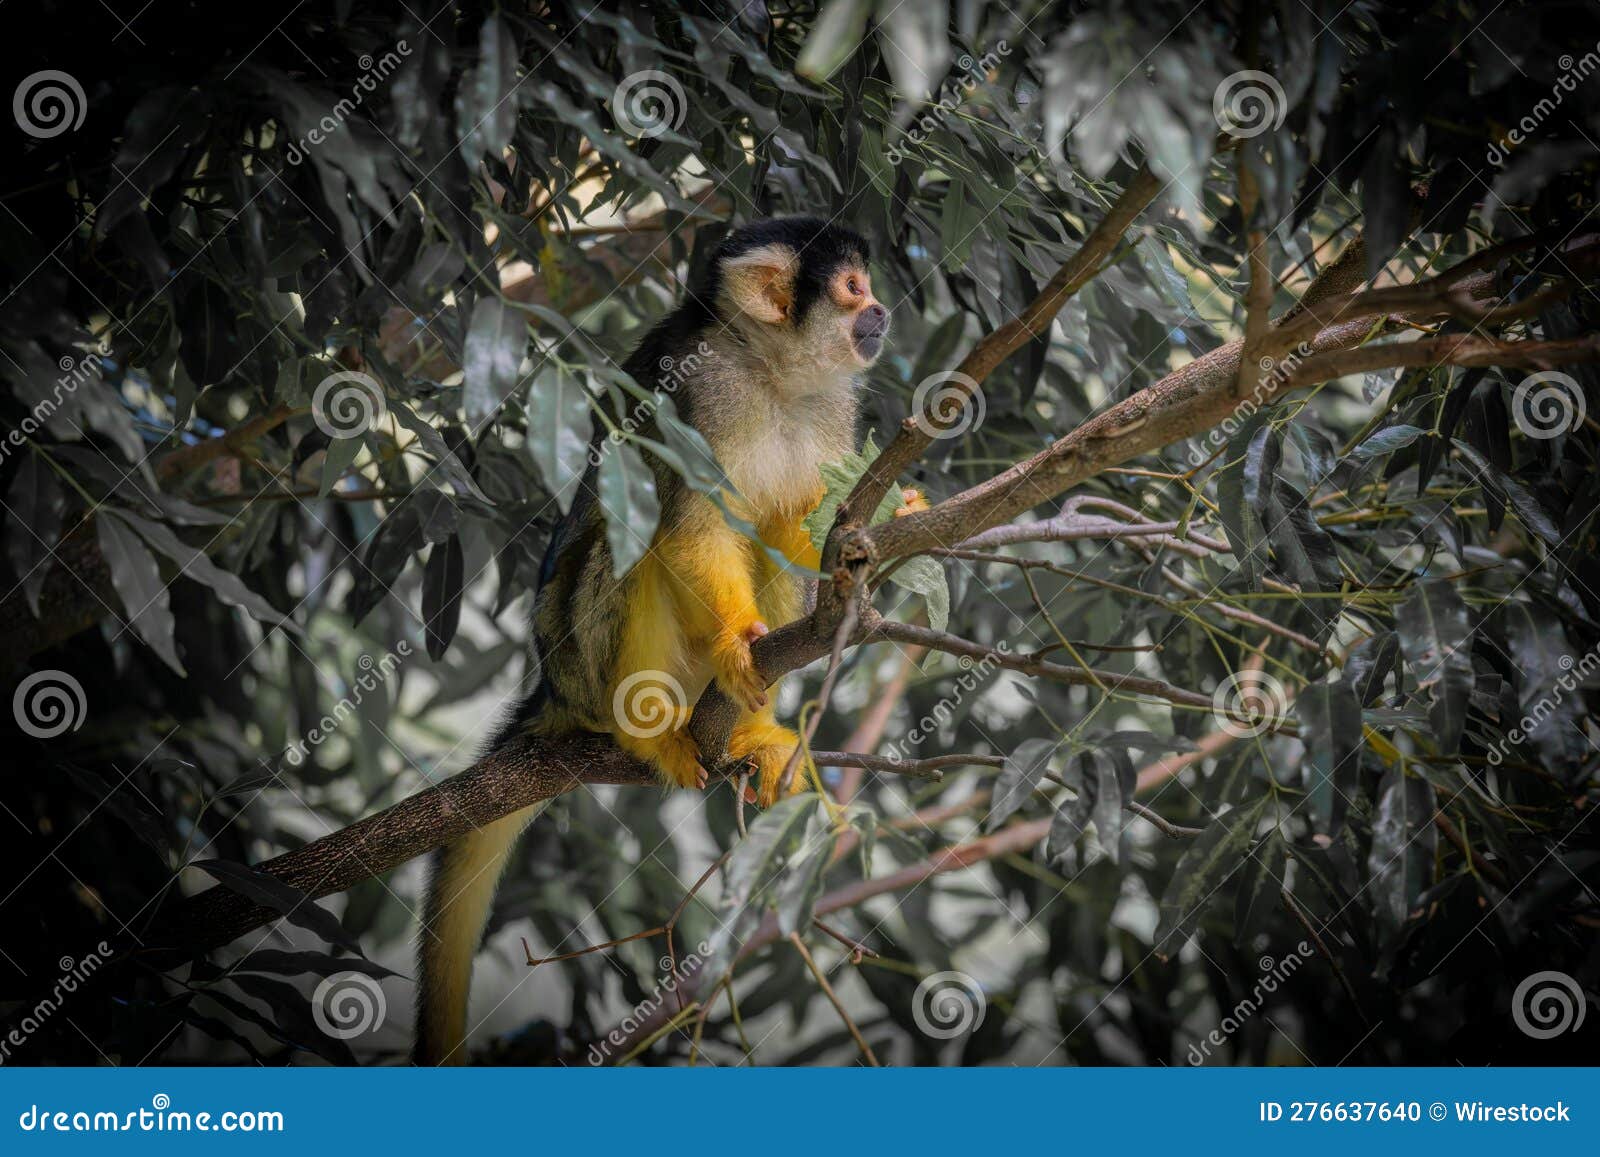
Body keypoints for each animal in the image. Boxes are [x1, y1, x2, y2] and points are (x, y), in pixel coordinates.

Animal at [415, 216, 902, 1065]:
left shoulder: (828, 409)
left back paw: (741, 726)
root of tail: (551, 687)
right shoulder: (694, 395)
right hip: (576, 656)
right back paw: (643, 728)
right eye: (851, 288)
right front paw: (741, 636)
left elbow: (792, 534)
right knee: (628, 535)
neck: (768, 373)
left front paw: (882, 523)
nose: (879, 310)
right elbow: (687, 524)